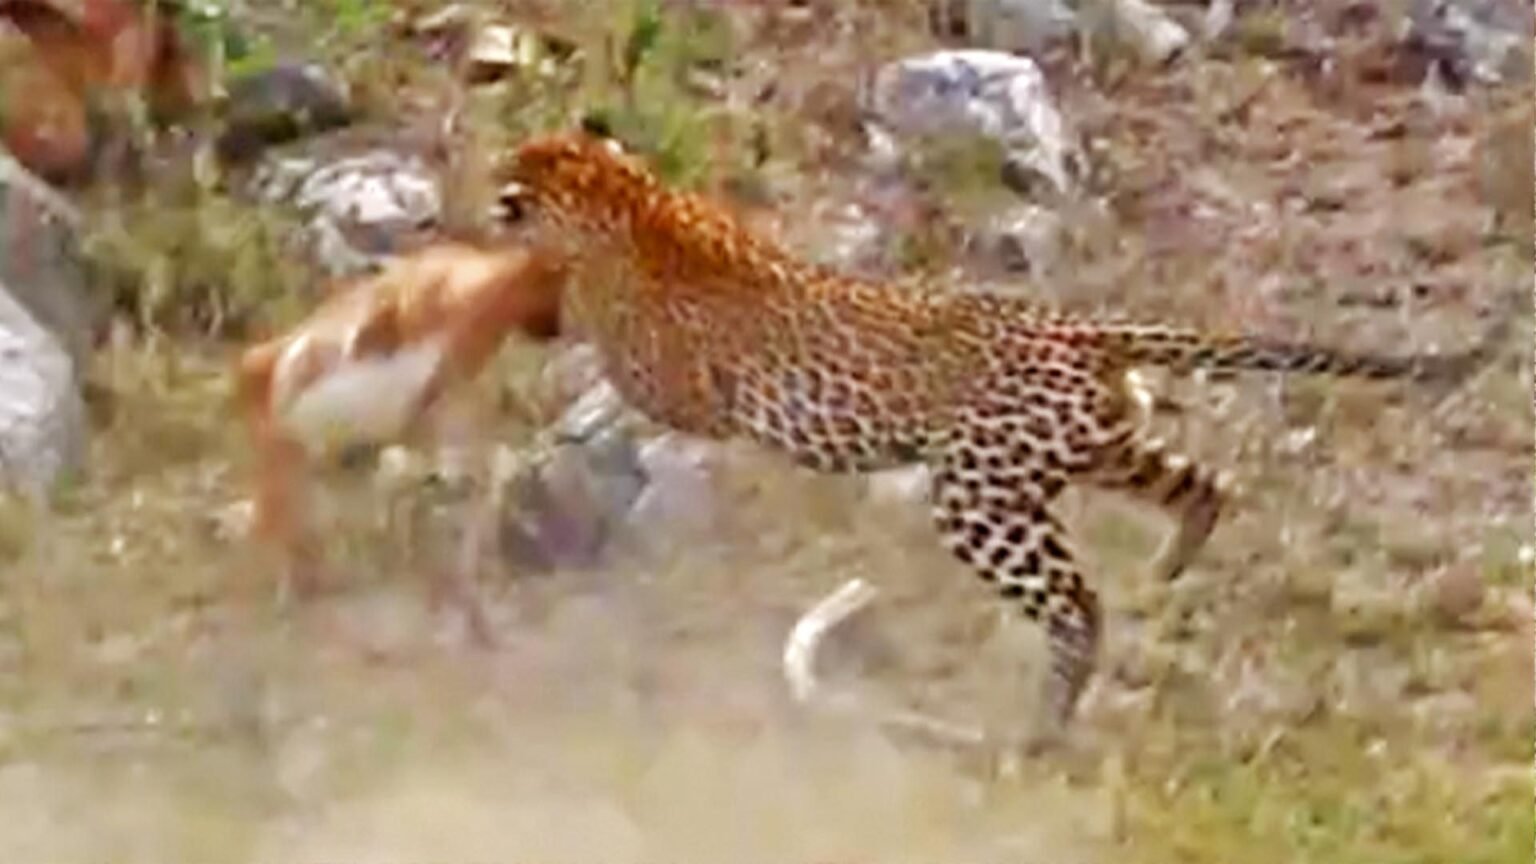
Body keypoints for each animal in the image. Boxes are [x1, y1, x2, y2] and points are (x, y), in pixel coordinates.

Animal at [493, 129, 1515, 733]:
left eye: (517, 169)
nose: (491, 190)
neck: (632, 200)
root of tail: (1078, 329)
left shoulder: (673, 385)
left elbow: (608, 361)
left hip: (981, 498)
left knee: (1077, 605)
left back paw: (1047, 717)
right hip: (1092, 447)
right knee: (1201, 484)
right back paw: (1169, 568)